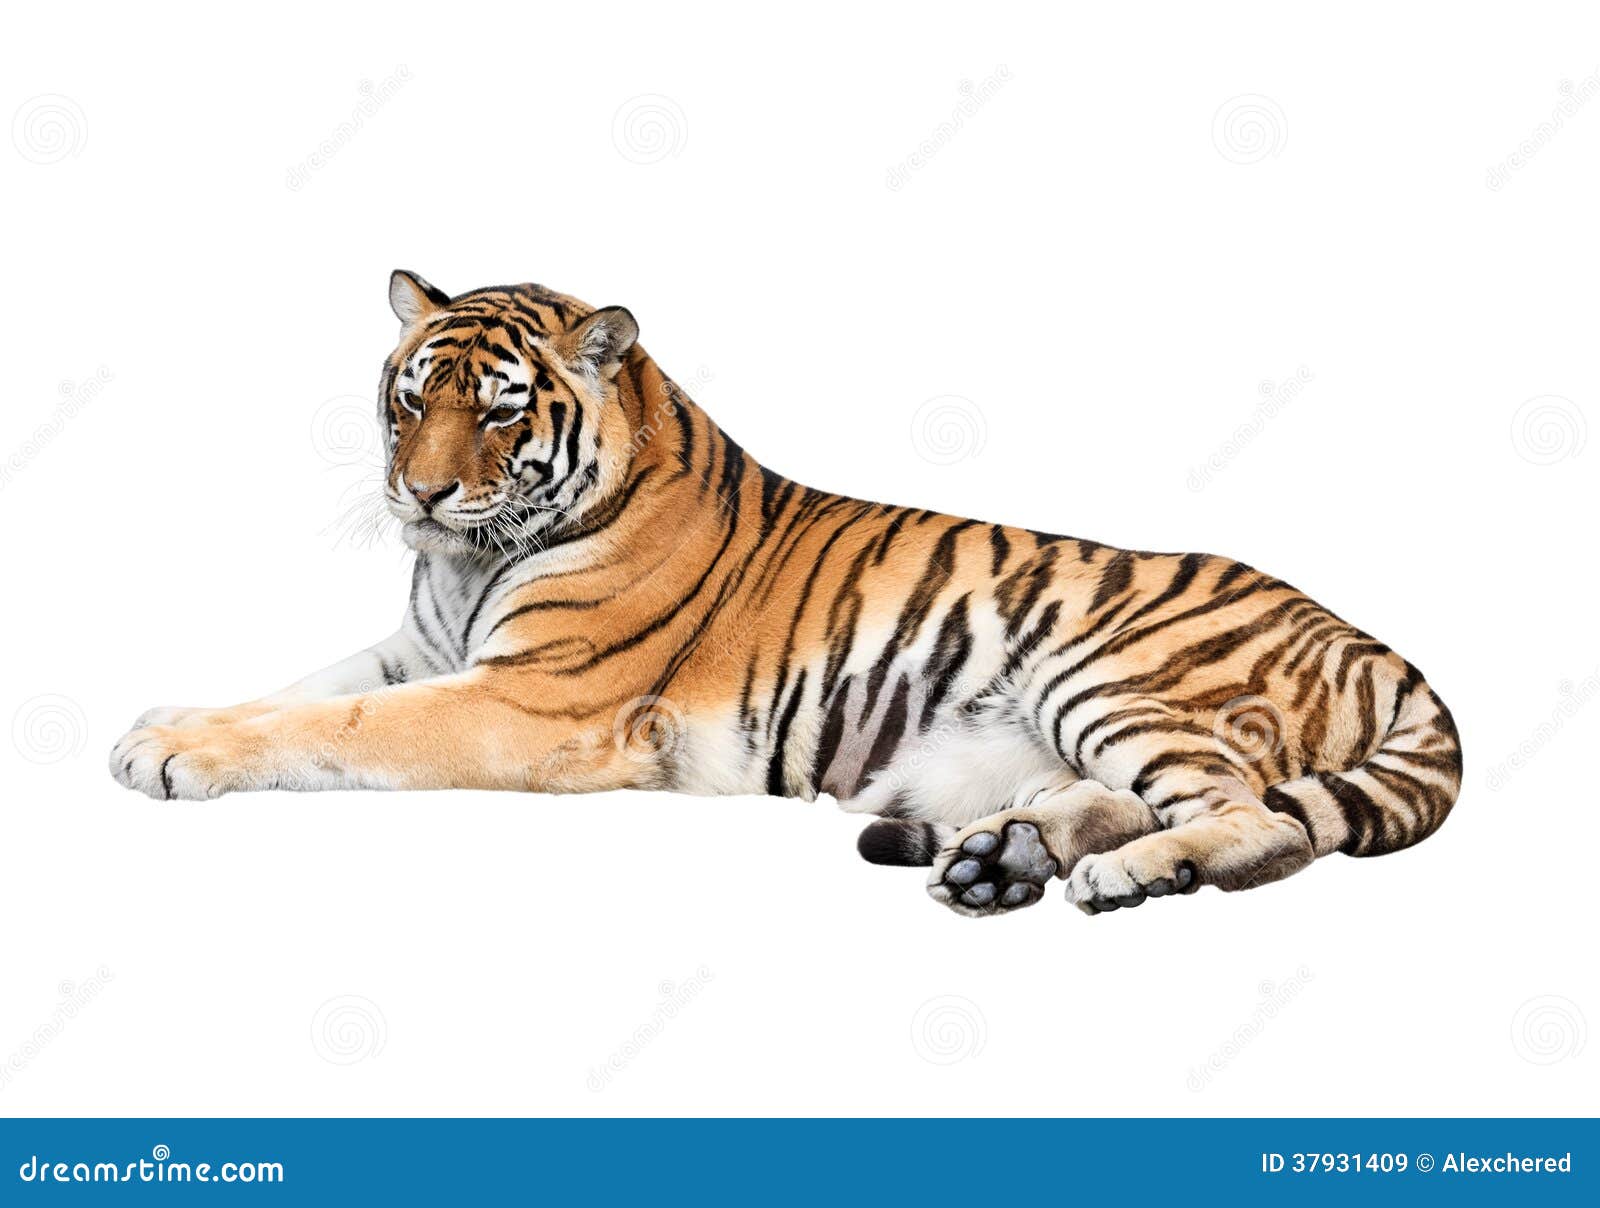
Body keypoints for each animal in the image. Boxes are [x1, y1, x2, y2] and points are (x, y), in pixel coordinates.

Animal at [109, 271, 1463, 917]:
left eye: (496, 409)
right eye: (409, 396)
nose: (422, 491)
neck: (467, 555)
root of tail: (1372, 642)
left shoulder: (533, 701)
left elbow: (340, 723)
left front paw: (173, 752)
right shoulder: (421, 647)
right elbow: (301, 687)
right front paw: (166, 719)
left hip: (1114, 677)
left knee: (1264, 818)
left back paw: (1124, 875)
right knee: (1137, 798)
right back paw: (1005, 854)